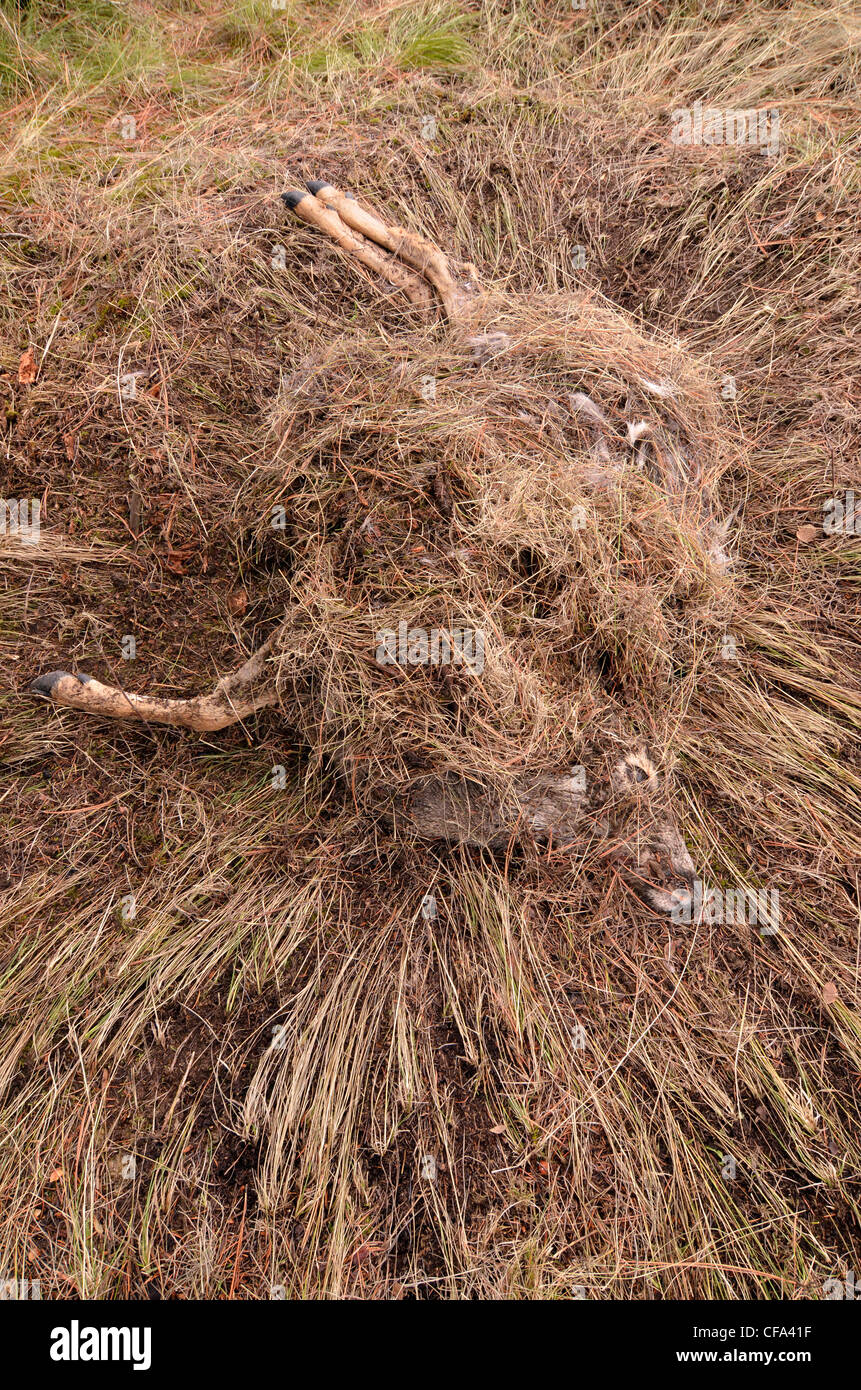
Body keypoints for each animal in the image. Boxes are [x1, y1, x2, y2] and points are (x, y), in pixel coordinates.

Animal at [30, 179, 737, 917]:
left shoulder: (316, 644)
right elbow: (216, 708)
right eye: (640, 773)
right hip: (490, 344)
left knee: (438, 288)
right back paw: (312, 197)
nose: (686, 883)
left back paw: (313, 198)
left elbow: (219, 708)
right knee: (450, 277)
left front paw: (69, 687)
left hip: (473, 348)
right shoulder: (325, 628)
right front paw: (66, 686)